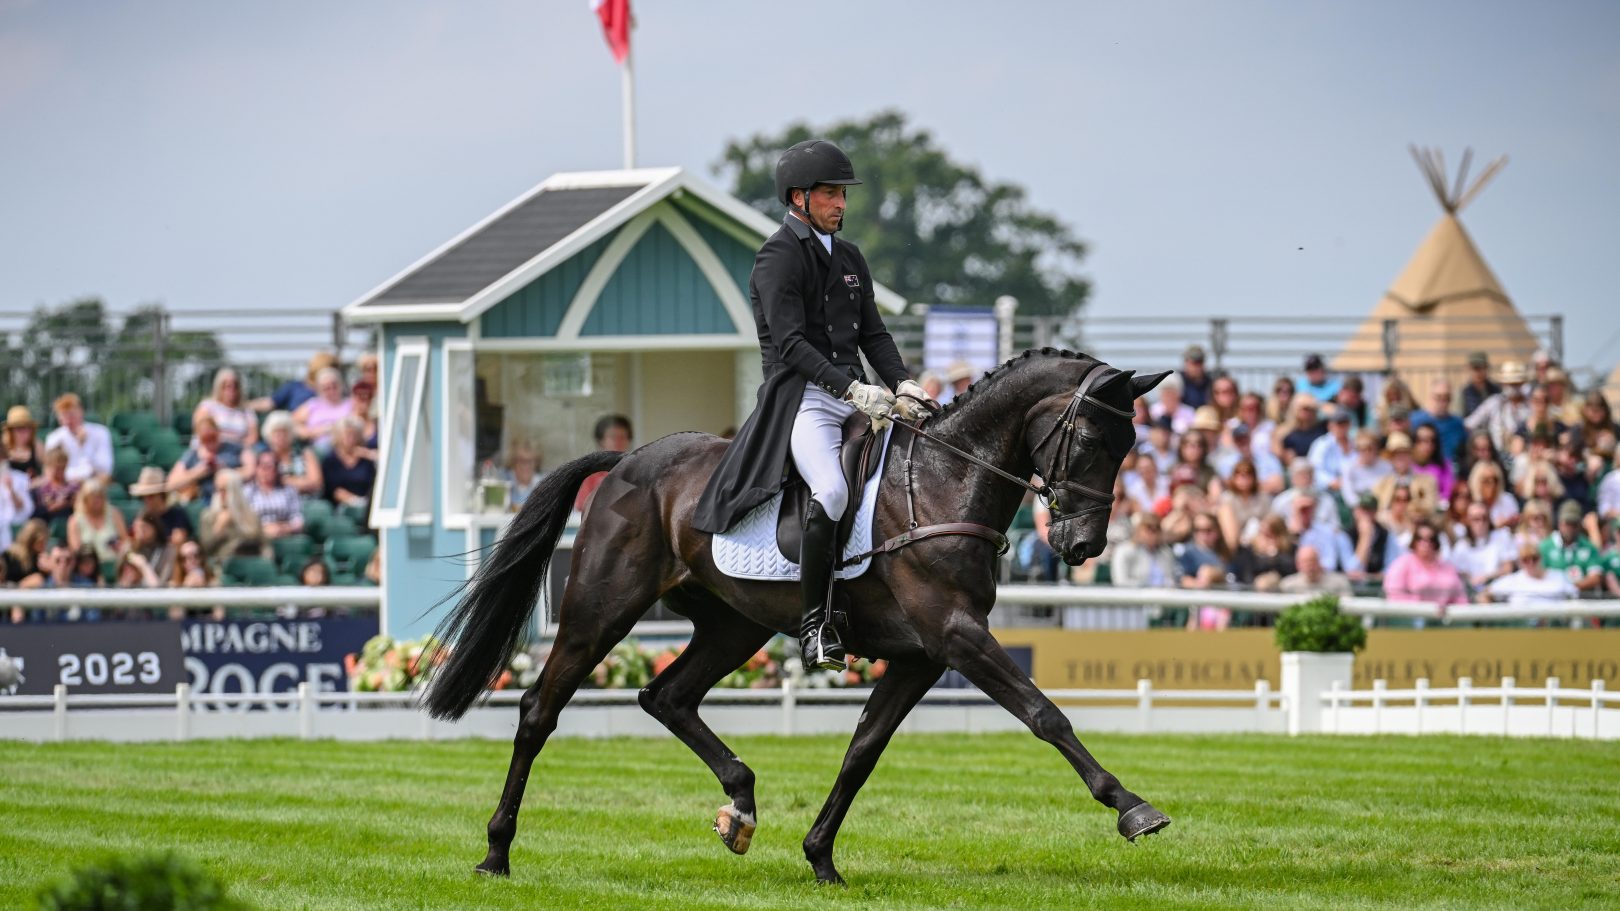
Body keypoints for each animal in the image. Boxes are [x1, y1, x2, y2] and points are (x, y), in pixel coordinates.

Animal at [423, 348, 1173, 885]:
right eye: (1090, 441)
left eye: (1129, 446)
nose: (1082, 547)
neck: (943, 479)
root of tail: (630, 459)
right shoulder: (957, 636)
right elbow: (1046, 715)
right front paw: (1133, 807)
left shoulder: (921, 655)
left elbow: (863, 749)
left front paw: (820, 856)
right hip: (599, 611)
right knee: (538, 709)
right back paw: (496, 852)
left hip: (736, 624)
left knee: (666, 695)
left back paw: (741, 807)